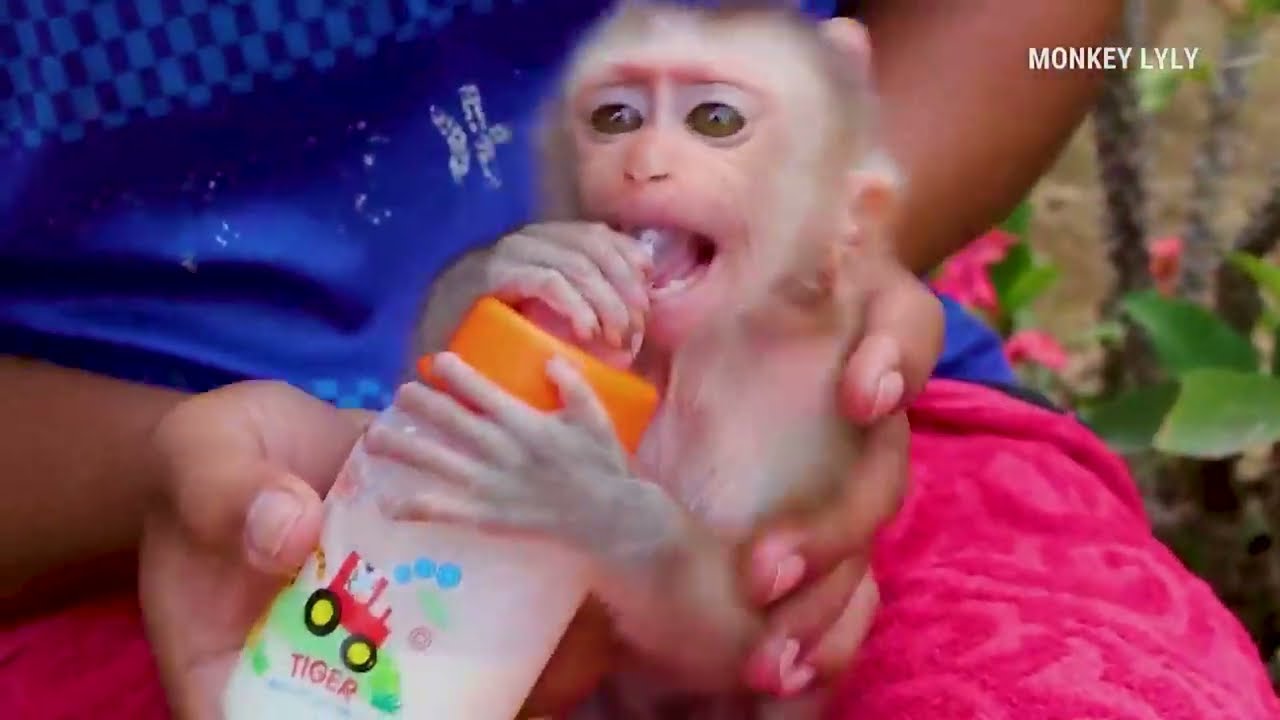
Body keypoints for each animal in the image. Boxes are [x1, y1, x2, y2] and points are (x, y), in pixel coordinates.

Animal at [374, 1, 903, 717]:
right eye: (616, 118)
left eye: (715, 119)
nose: (641, 166)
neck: (698, 348)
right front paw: (528, 264)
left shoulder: (804, 398)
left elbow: (743, 645)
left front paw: (586, 501)